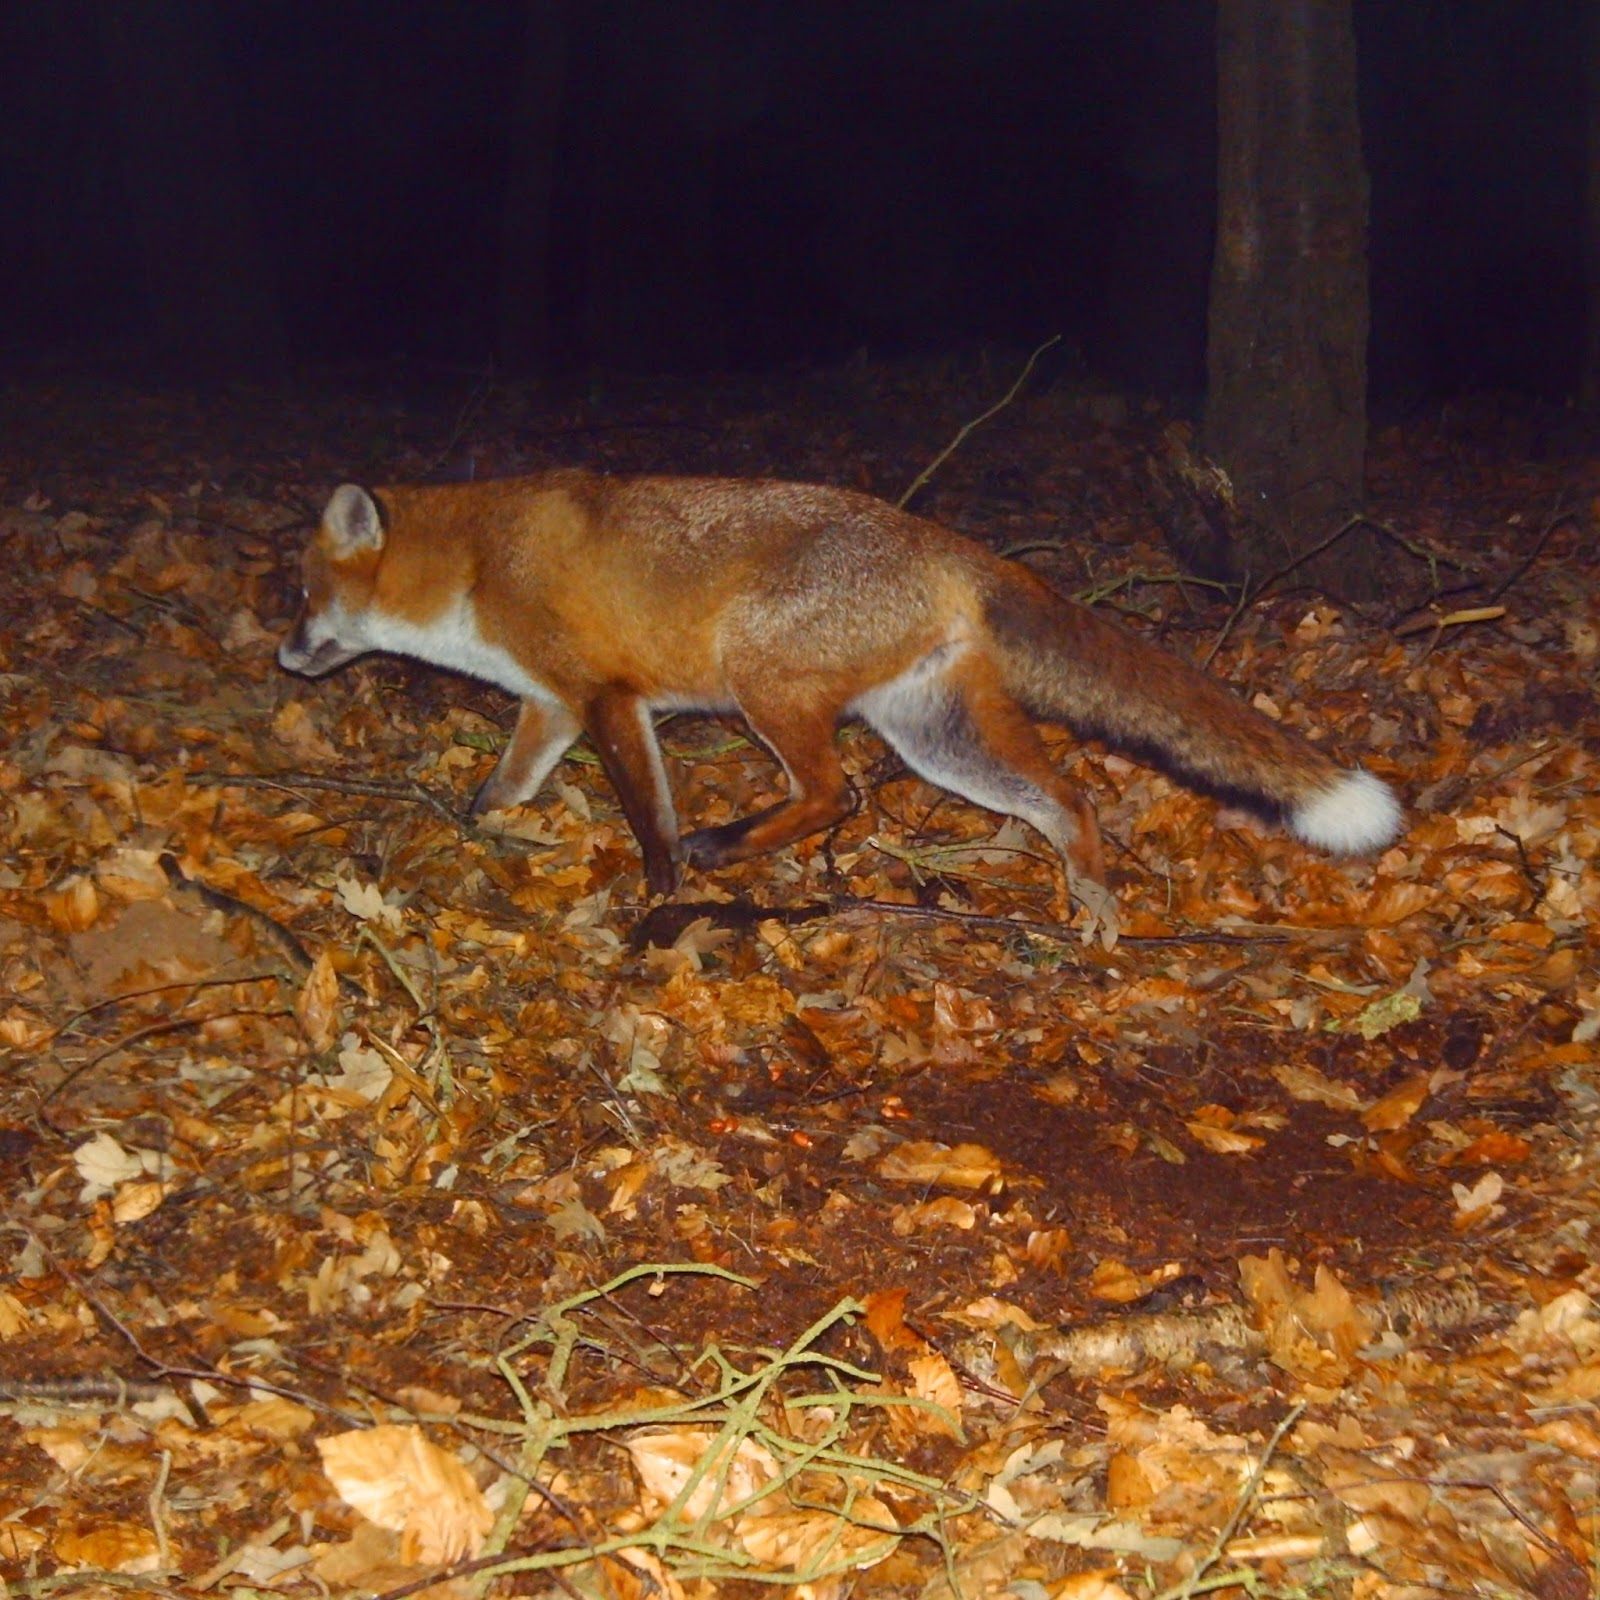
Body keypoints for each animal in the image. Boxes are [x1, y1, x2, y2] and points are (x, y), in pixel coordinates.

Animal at [277, 471, 1401, 931]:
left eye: (302, 595)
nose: (284, 656)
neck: (475, 566)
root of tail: (946, 541)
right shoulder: (555, 706)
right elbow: (506, 786)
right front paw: (478, 822)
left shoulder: (606, 696)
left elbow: (648, 816)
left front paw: (658, 893)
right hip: (934, 737)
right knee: (1065, 797)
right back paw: (1090, 895)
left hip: (764, 681)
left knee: (832, 795)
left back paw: (727, 849)